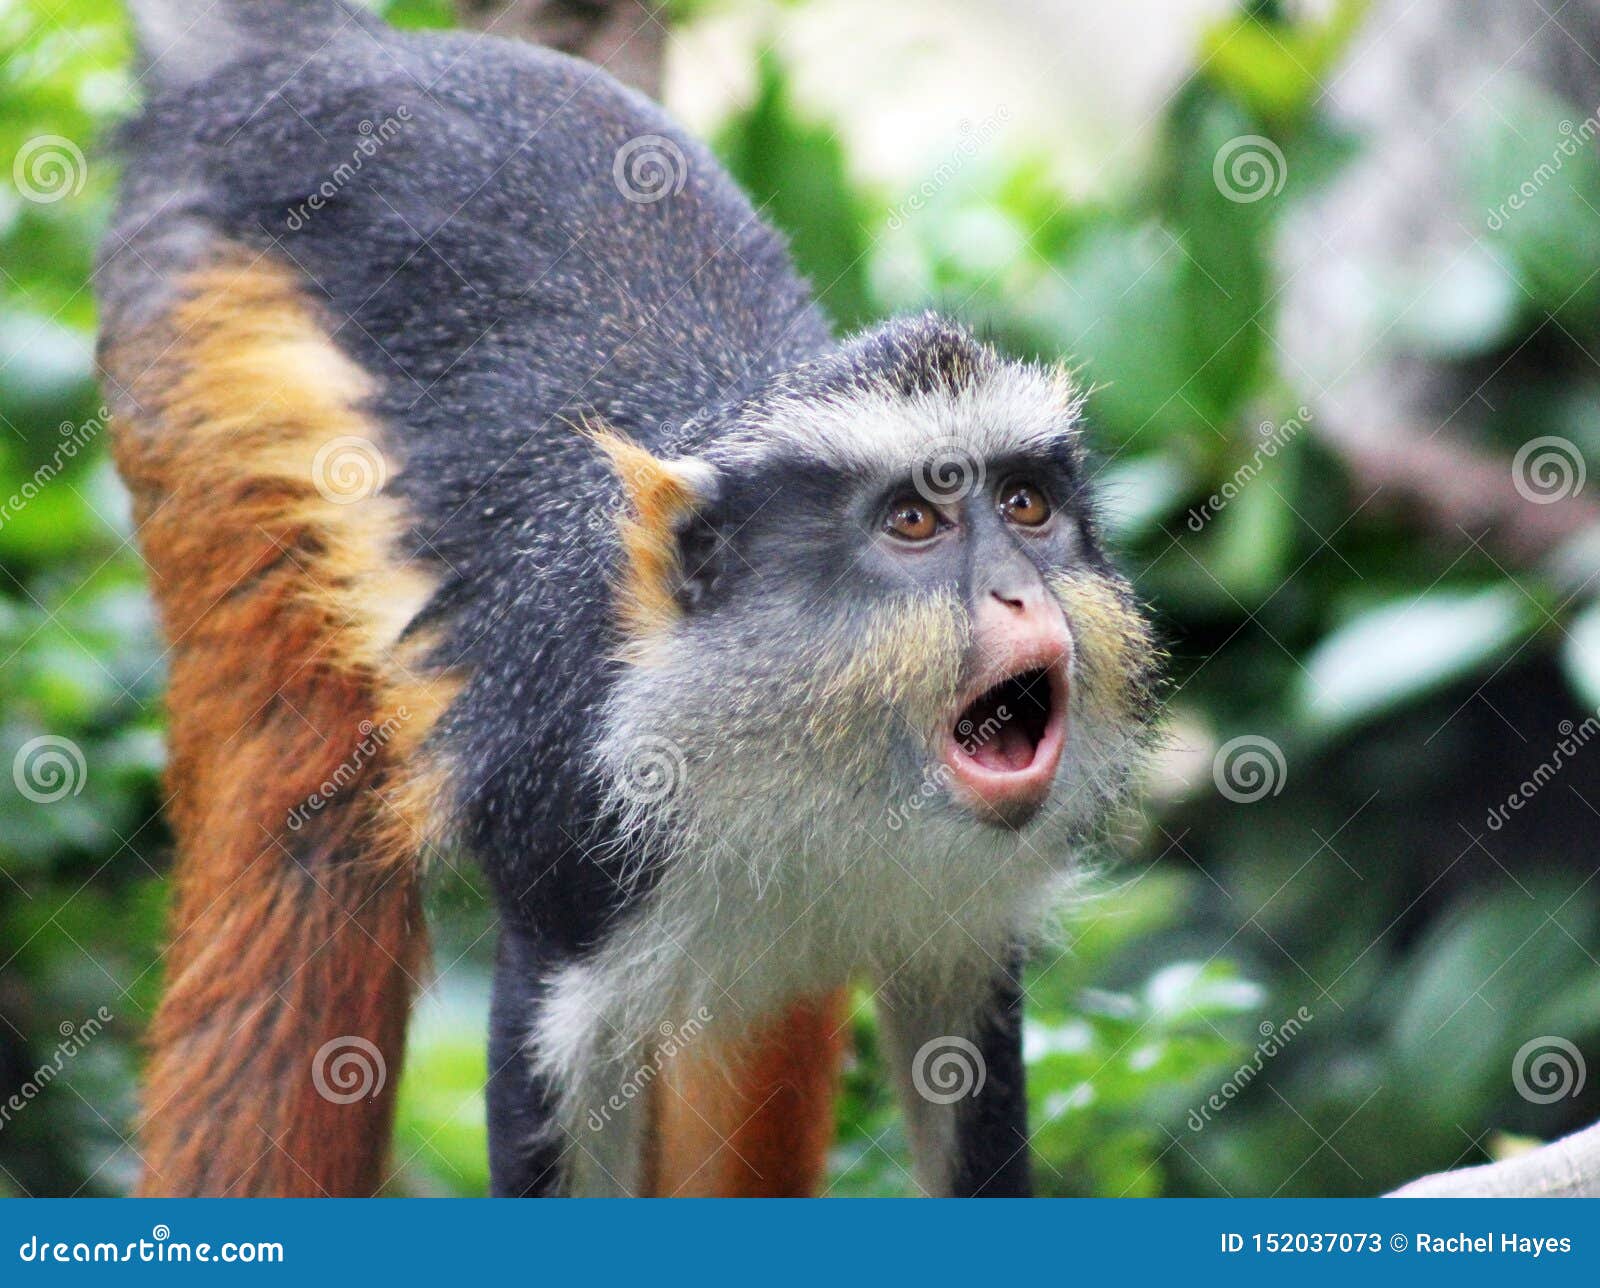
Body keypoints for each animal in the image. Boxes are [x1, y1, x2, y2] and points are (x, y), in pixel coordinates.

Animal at [96, 0, 1159, 1198]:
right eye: (914, 523)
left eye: (1024, 505)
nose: (1021, 596)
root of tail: (316, 59)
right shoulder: (574, 839)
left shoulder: (960, 927)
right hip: (200, 375)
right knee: (304, 837)